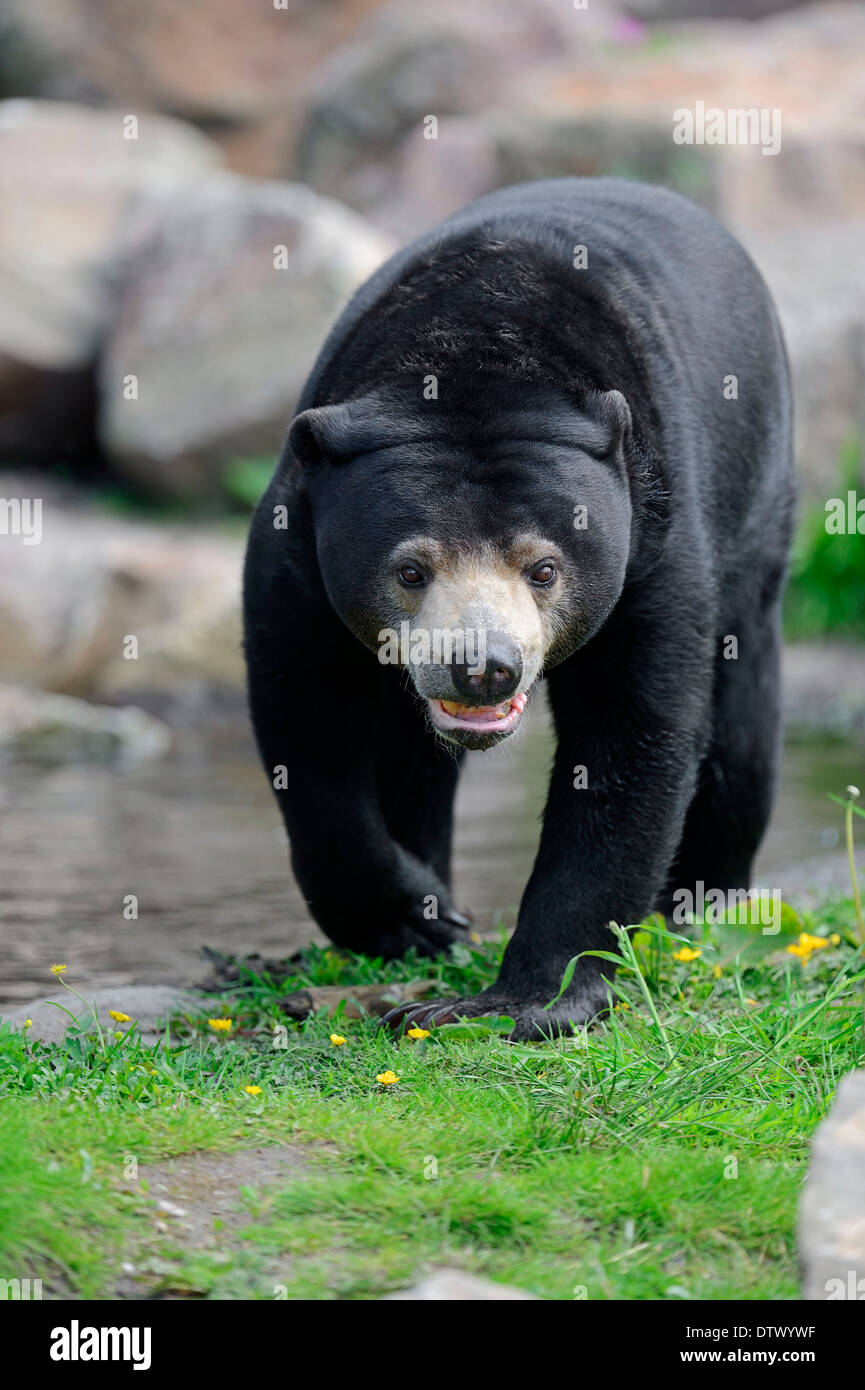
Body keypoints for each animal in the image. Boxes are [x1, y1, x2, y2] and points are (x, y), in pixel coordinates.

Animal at [243, 177, 794, 1040]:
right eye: (410, 569)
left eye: (543, 568)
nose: (481, 668)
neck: (477, 349)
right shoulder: (296, 547)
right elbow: (304, 715)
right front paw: (412, 921)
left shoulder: (653, 540)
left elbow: (630, 735)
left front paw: (517, 998)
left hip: (758, 502)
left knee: (740, 721)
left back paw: (698, 904)